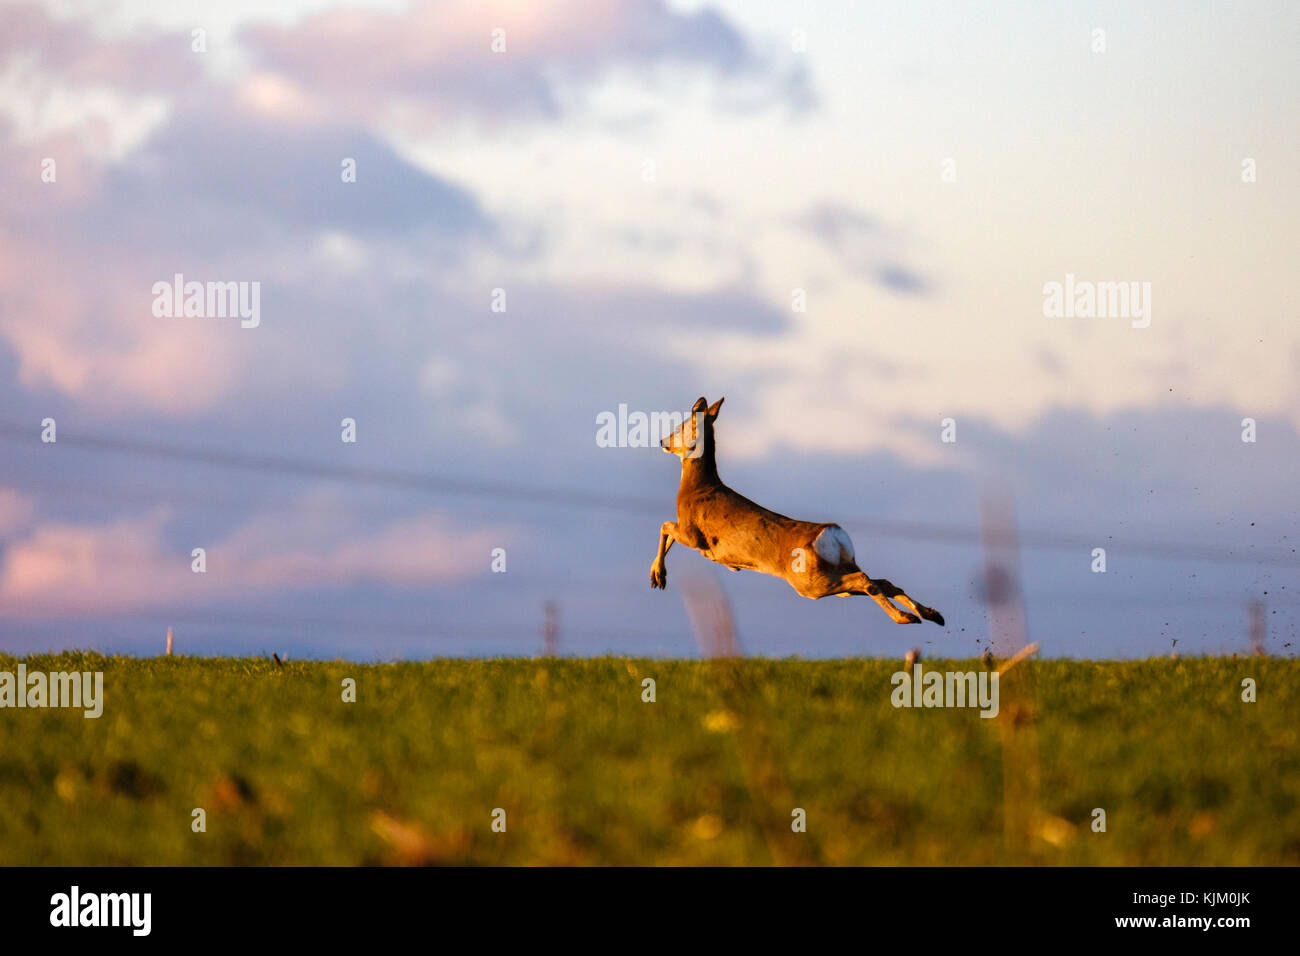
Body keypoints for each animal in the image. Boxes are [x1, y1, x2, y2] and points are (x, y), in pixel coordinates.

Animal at [649, 397, 945, 626]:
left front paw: (658, 576)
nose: (663, 440)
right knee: (883, 581)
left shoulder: (694, 534)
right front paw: (658, 575)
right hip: (839, 569)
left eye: (680, 426)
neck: (697, 487)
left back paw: (906, 618)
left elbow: (665, 525)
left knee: (867, 581)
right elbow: (668, 529)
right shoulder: (691, 534)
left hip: (810, 582)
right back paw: (930, 614)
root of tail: (833, 534)